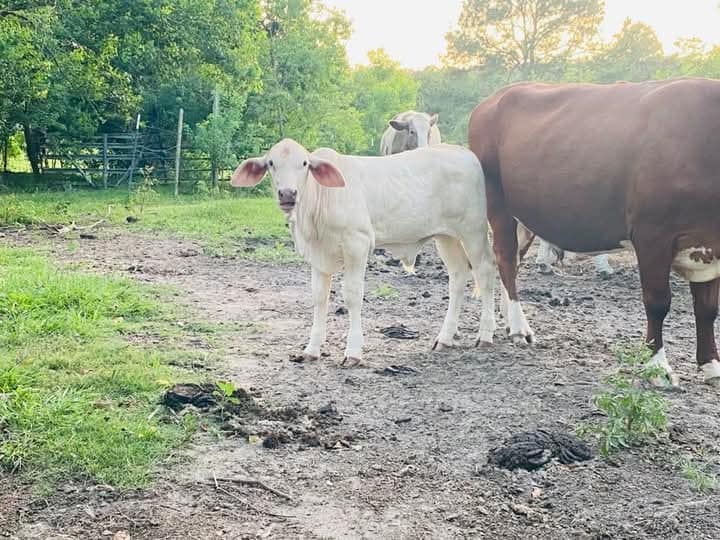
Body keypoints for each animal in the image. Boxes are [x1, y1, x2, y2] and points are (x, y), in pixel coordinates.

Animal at [230, 138, 496, 366]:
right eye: (271, 163)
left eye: (304, 163)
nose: (287, 194)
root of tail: (464, 152)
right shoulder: (318, 255)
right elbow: (319, 297)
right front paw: (312, 349)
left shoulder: (357, 244)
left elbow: (353, 296)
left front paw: (353, 352)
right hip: (446, 237)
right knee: (458, 276)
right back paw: (445, 338)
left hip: (473, 230)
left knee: (485, 271)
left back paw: (485, 334)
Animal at [468, 78, 720, 386]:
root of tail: (497, 97)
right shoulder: (652, 234)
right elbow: (658, 301)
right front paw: (657, 367)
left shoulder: (707, 243)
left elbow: (707, 309)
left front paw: (711, 366)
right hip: (496, 202)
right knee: (505, 259)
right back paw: (517, 327)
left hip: (523, 218)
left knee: (511, 262)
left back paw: (512, 323)